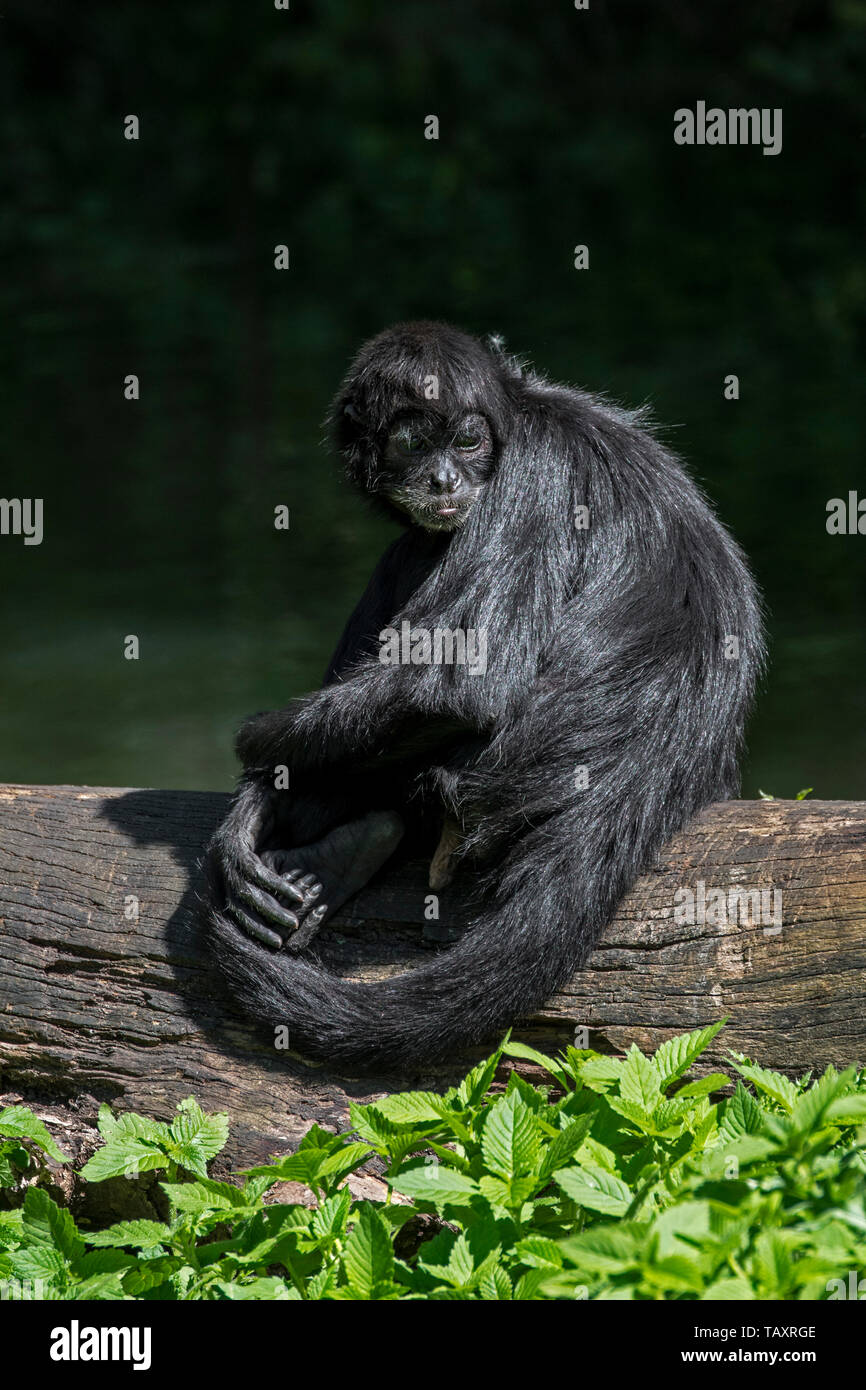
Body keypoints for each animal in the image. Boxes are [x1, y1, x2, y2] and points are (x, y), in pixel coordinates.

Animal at [203, 320, 764, 1069]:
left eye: (468, 441)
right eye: (414, 443)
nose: (444, 478)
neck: (524, 412)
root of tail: (655, 767)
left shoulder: (531, 475)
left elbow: (462, 689)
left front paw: (260, 763)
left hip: (479, 777)